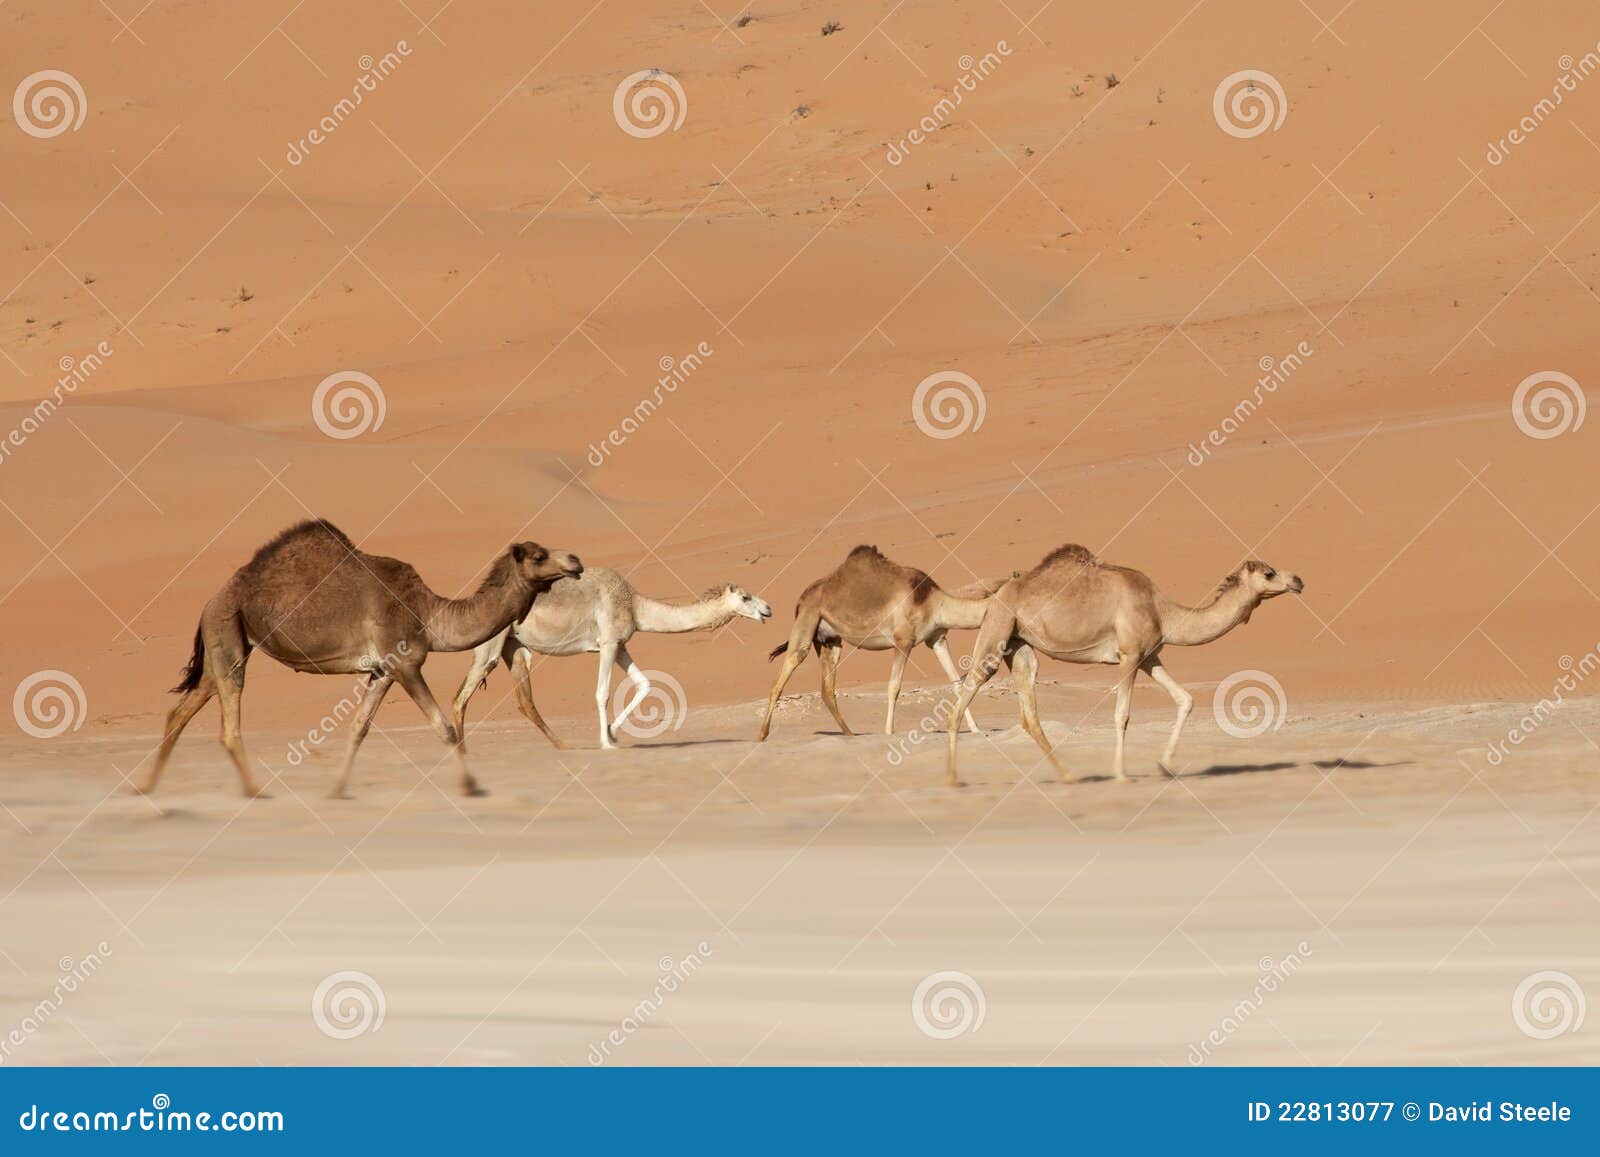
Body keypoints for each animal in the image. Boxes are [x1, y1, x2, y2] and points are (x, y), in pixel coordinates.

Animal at [139, 519, 582, 799]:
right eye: (538, 555)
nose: (575, 561)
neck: (427, 612)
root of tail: (211, 600)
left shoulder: (382, 670)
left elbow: (358, 728)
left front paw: (338, 790)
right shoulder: (404, 662)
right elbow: (444, 728)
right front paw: (472, 787)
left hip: (224, 641)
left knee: (182, 709)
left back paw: (146, 787)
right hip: (226, 630)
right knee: (228, 723)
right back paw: (254, 791)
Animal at [451, 566, 772, 750]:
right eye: (745, 597)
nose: (768, 608)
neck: (635, 605)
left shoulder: (620, 644)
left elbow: (644, 684)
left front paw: (614, 733)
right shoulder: (607, 643)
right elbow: (602, 692)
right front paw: (607, 743)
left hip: (514, 646)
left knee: (523, 699)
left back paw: (562, 745)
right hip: (491, 644)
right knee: (461, 697)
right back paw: (461, 751)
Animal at [756, 545, 1011, 740]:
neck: (933, 601)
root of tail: (800, 599)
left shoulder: (936, 638)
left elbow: (956, 682)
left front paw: (975, 728)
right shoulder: (903, 641)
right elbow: (894, 687)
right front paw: (889, 731)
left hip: (829, 640)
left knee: (827, 689)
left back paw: (850, 734)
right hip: (807, 620)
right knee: (785, 672)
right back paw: (762, 735)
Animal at [945, 546, 1304, 787]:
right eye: (1269, 573)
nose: (1298, 580)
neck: (1162, 610)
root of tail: (996, 596)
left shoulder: (1149, 656)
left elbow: (1185, 699)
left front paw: (1164, 765)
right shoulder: (1129, 656)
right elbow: (1122, 715)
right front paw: (1121, 773)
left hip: (1019, 645)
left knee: (1029, 713)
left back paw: (1070, 775)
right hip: (997, 630)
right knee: (963, 698)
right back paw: (953, 779)